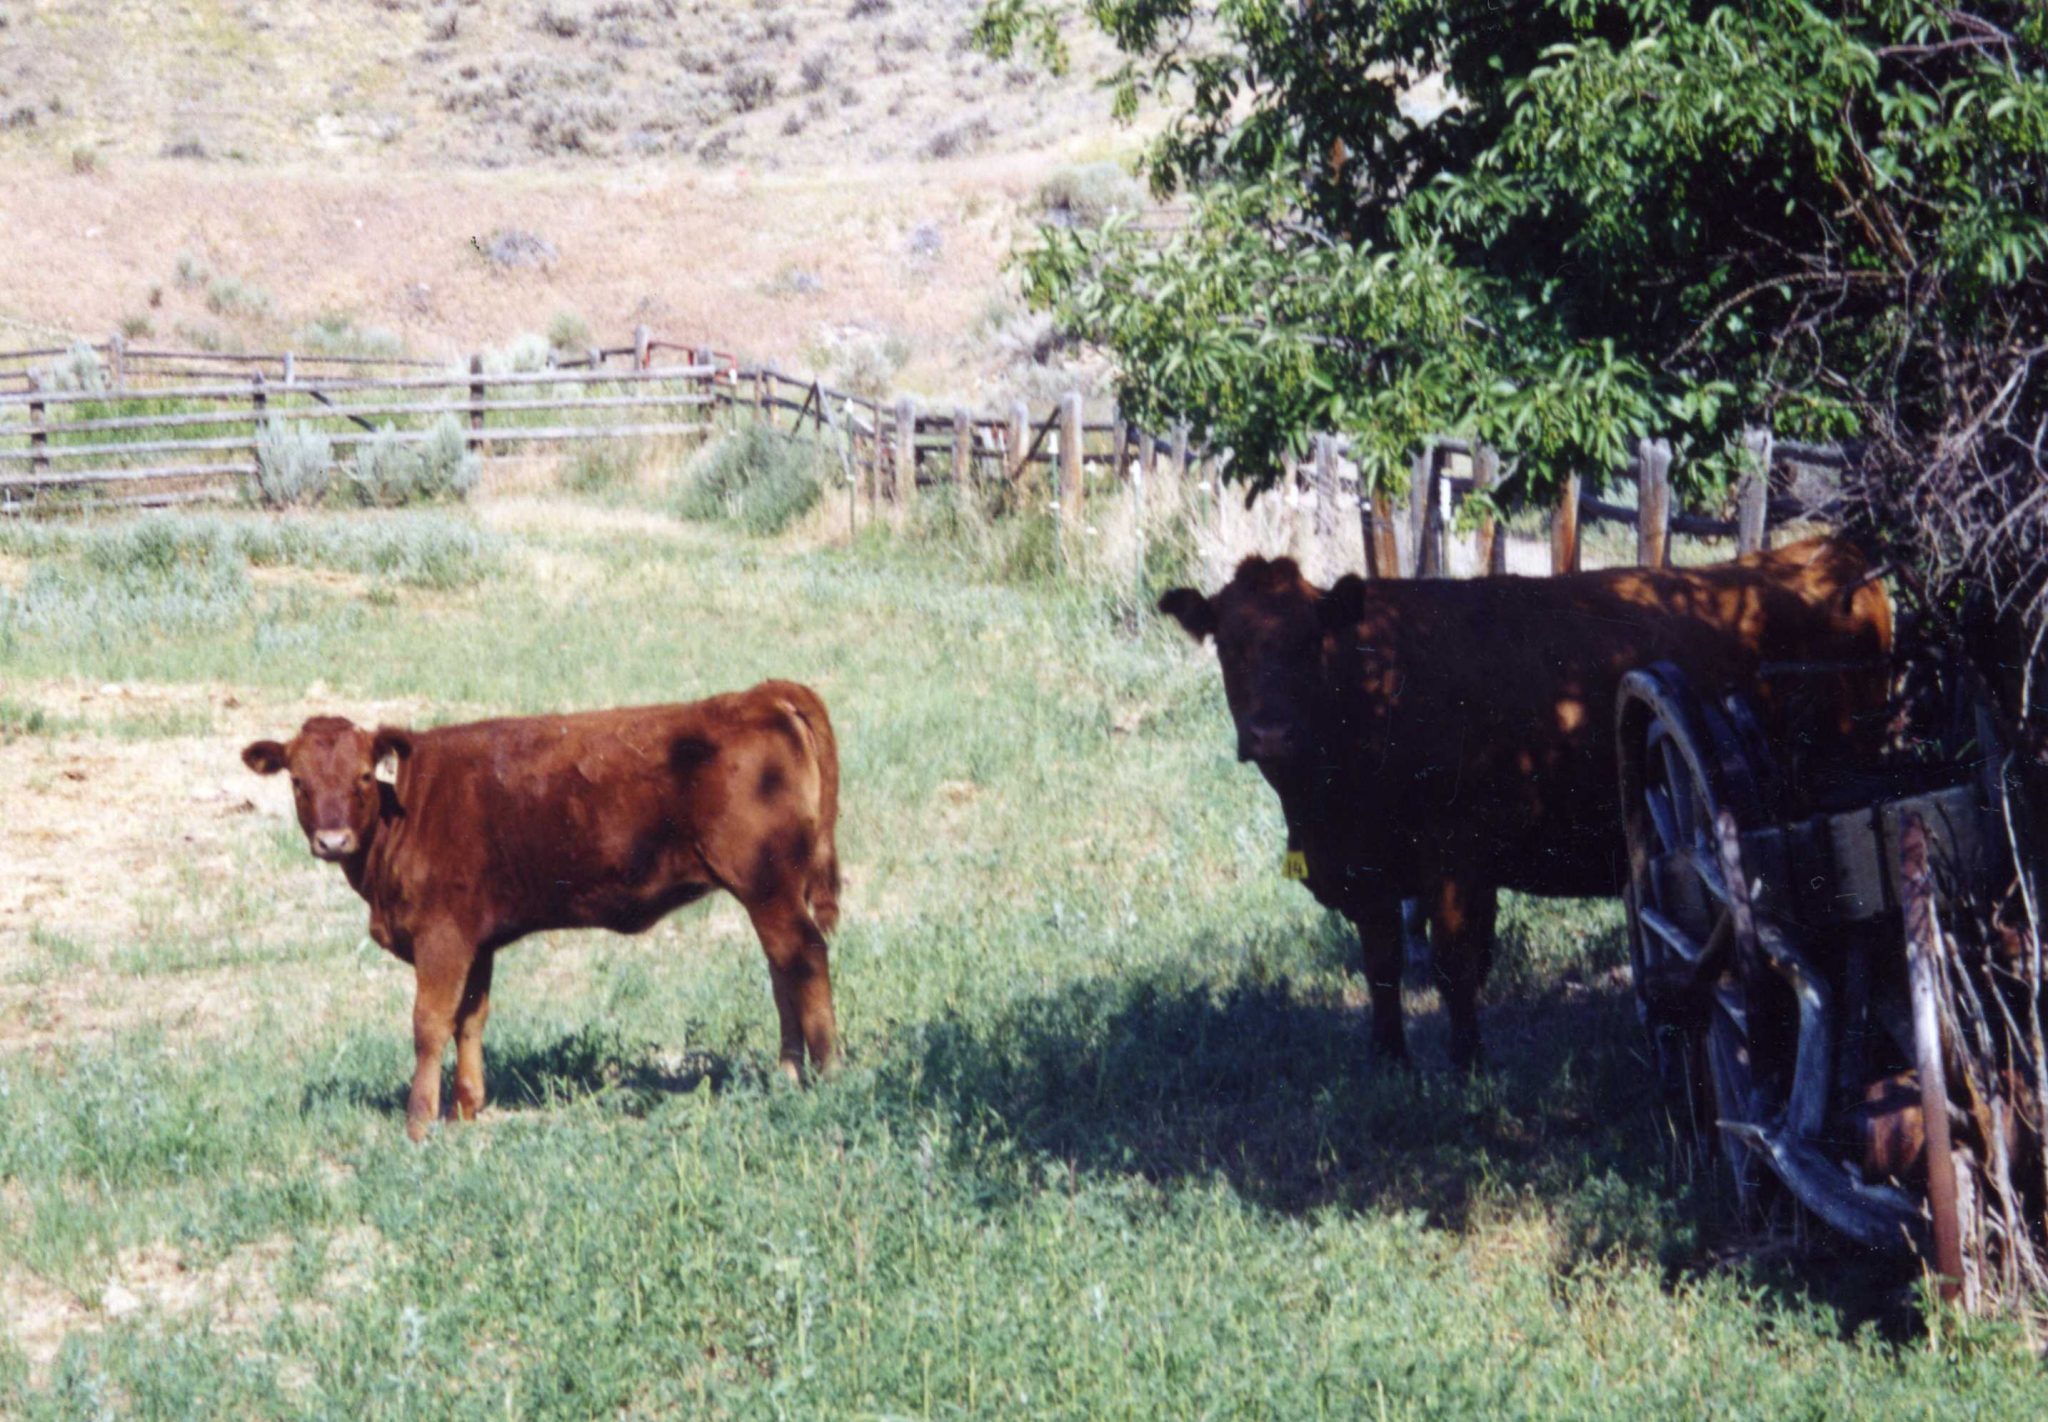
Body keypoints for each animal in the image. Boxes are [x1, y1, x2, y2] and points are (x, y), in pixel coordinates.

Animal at [242, 680, 841, 1140]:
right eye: (298, 781)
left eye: (363, 776)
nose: (333, 841)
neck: (402, 817)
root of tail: (757, 695)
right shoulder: (476, 941)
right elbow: (470, 1018)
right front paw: (465, 1108)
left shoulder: (442, 936)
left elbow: (429, 1023)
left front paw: (417, 1122)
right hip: (769, 891)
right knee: (782, 970)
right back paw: (788, 1073)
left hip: (768, 885)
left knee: (806, 957)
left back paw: (829, 1072)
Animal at [1158, 537, 1890, 1069]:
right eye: (1228, 644)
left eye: (1311, 641)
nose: (1270, 733)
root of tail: (1823, 549)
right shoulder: (1369, 872)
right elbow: (1383, 967)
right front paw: (1390, 1060)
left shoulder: (1455, 856)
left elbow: (1455, 964)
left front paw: (1467, 1066)